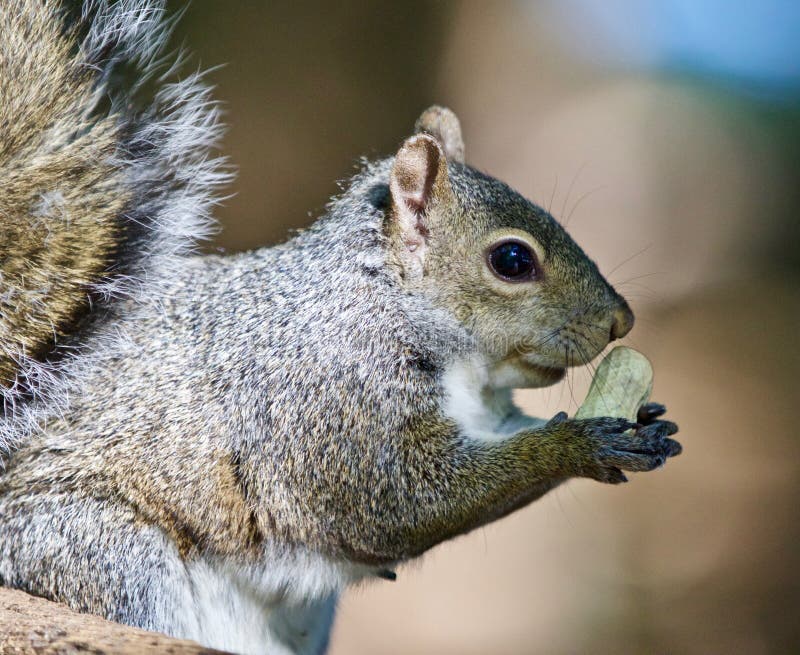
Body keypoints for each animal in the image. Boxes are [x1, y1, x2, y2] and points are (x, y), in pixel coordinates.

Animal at [0, 2, 680, 654]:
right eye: (512, 260)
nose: (621, 320)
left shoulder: (483, 414)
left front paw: (645, 422)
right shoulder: (335, 400)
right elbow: (400, 500)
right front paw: (577, 446)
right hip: (106, 555)